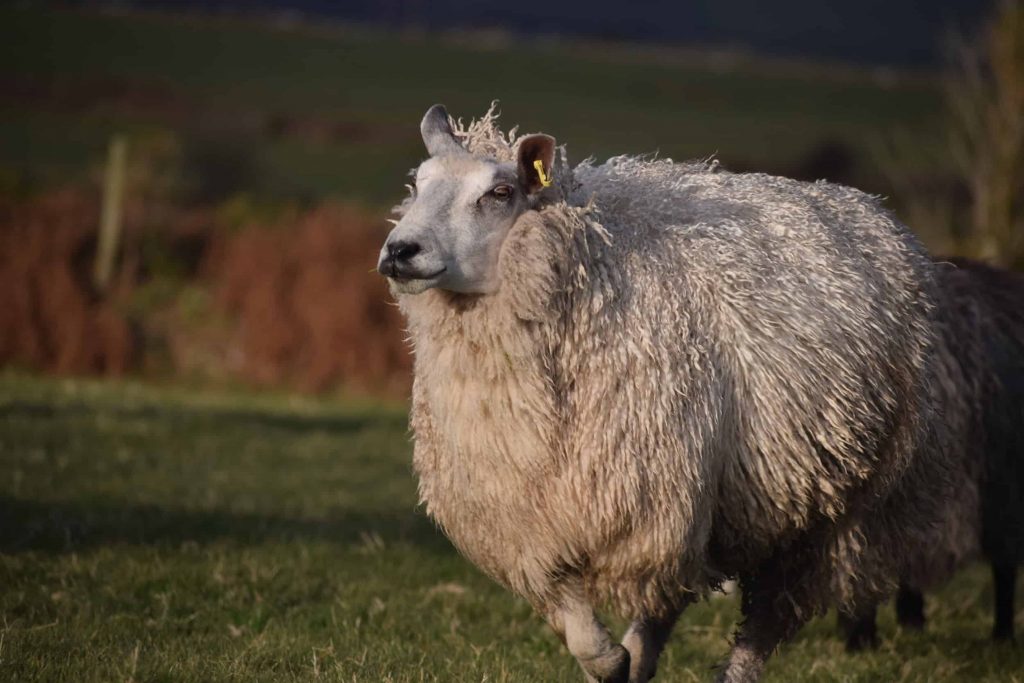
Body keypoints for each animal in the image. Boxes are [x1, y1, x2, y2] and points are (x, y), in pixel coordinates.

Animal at [377, 104, 953, 682]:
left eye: (499, 192)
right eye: (417, 183)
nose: (400, 251)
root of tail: (873, 211)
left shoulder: (647, 509)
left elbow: (641, 609)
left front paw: (617, 660)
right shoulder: (526, 526)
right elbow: (576, 619)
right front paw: (609, 659)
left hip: (829, 510)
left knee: (764, 614)